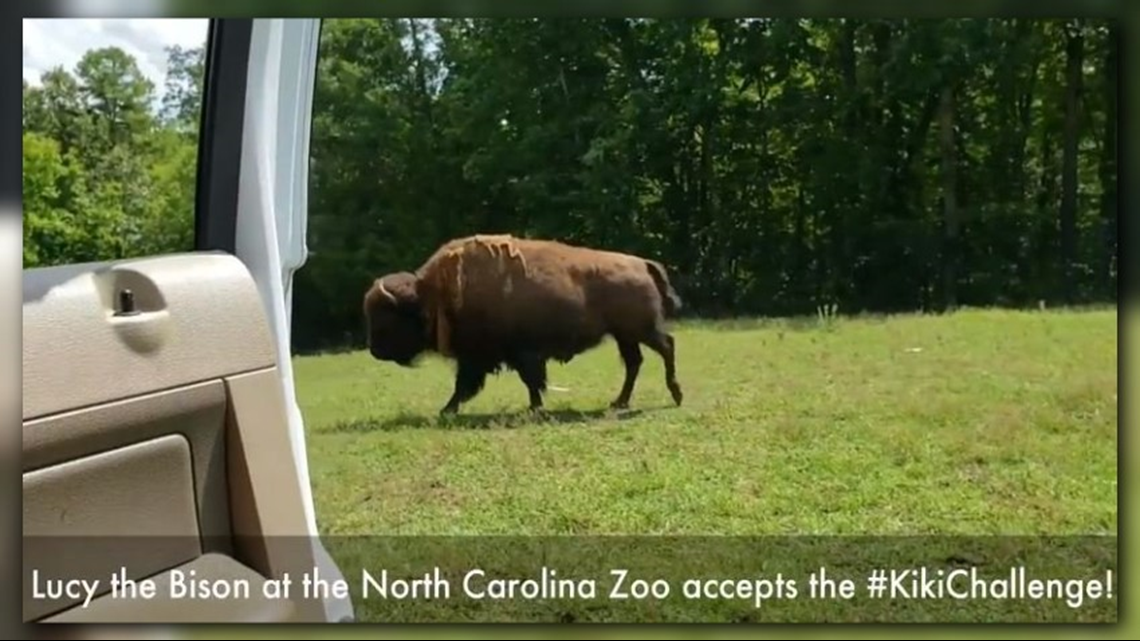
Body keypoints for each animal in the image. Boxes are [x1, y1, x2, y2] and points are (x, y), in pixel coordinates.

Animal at [363, 233, 684, 416]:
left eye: (387, 319)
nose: (374, 351)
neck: (432, 296)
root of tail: (641, 263)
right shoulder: (486, 358)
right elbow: (471, 385)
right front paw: (448, 409)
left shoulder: (511, 355)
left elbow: (520, 381)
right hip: (624, 335)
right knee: (635, 362)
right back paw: (619, 402)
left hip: (640, 330)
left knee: (666, 346)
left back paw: (675, 394)